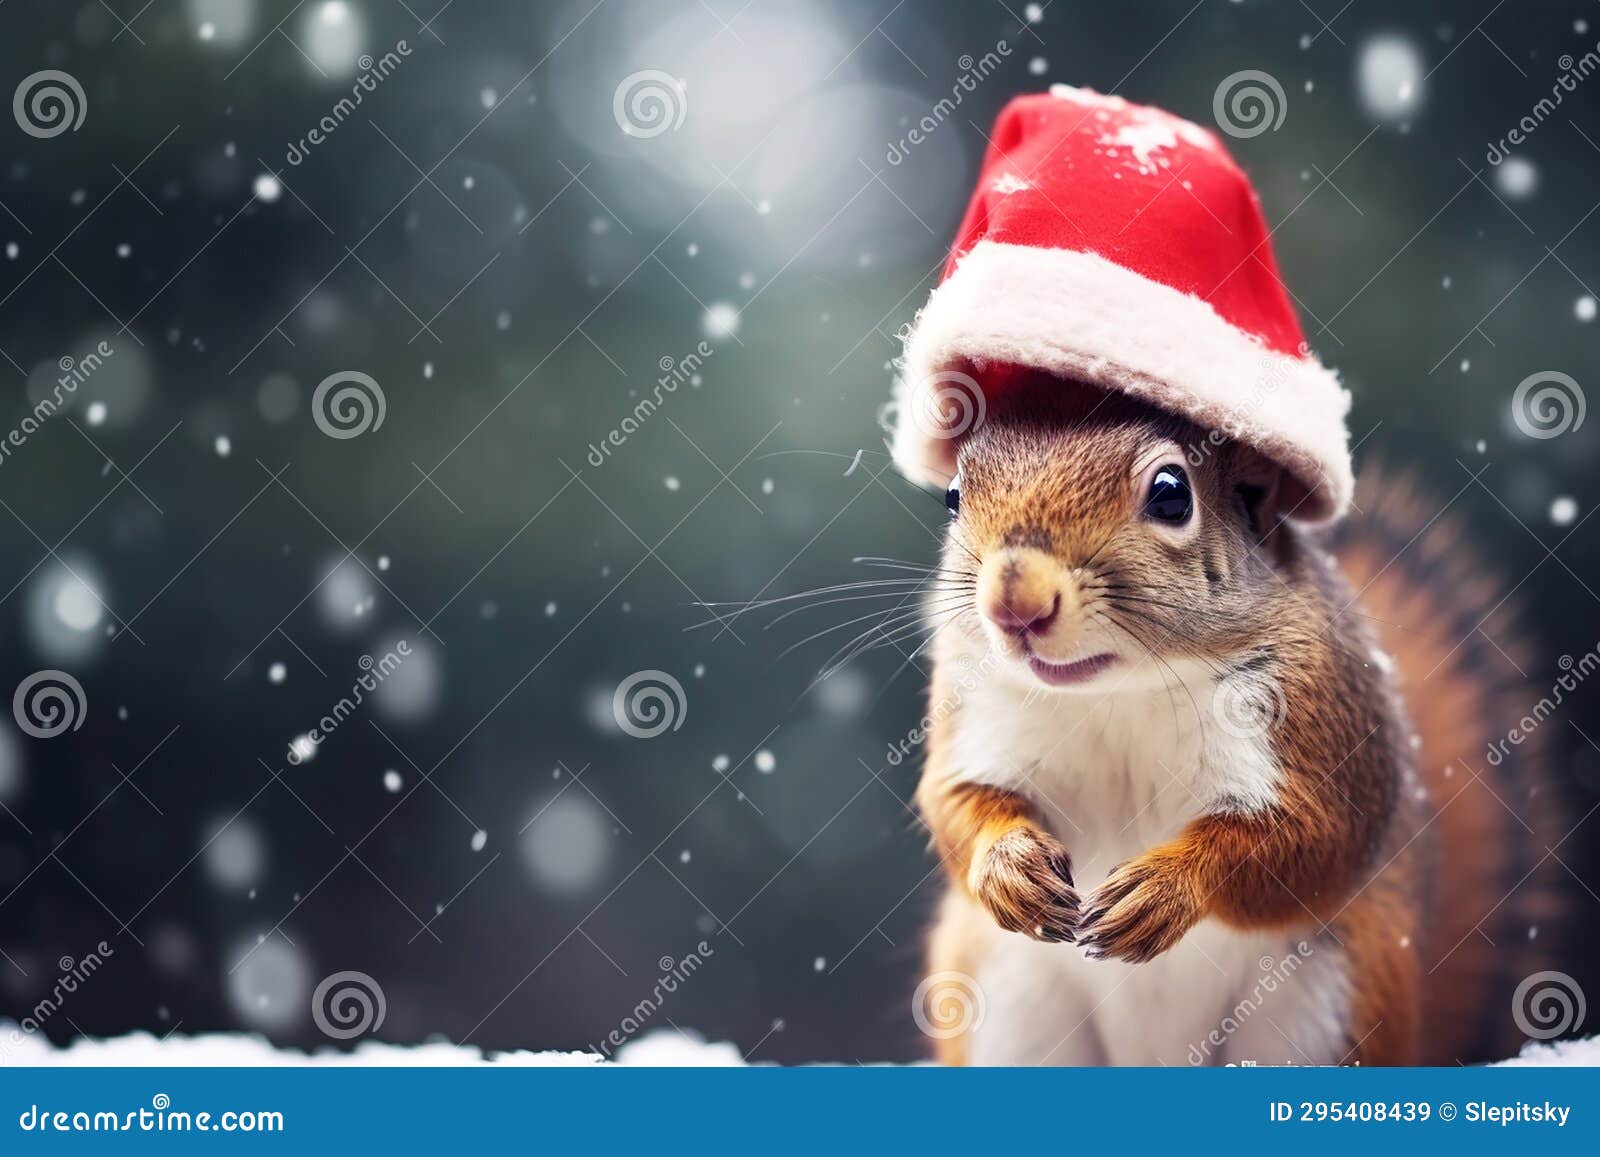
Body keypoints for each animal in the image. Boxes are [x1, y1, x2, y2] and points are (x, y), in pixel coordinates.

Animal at [910, 377, 1566, 1066]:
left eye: (1171, 494)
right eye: (954, 497)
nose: (1014, 601)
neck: (1117, 692)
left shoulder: (1312, 727)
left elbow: (1312, 839)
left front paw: (1164, 888)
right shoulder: (974, 717)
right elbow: (953, 806)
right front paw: (1008, 868)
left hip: (1325, 1007)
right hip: (1009, 1005)